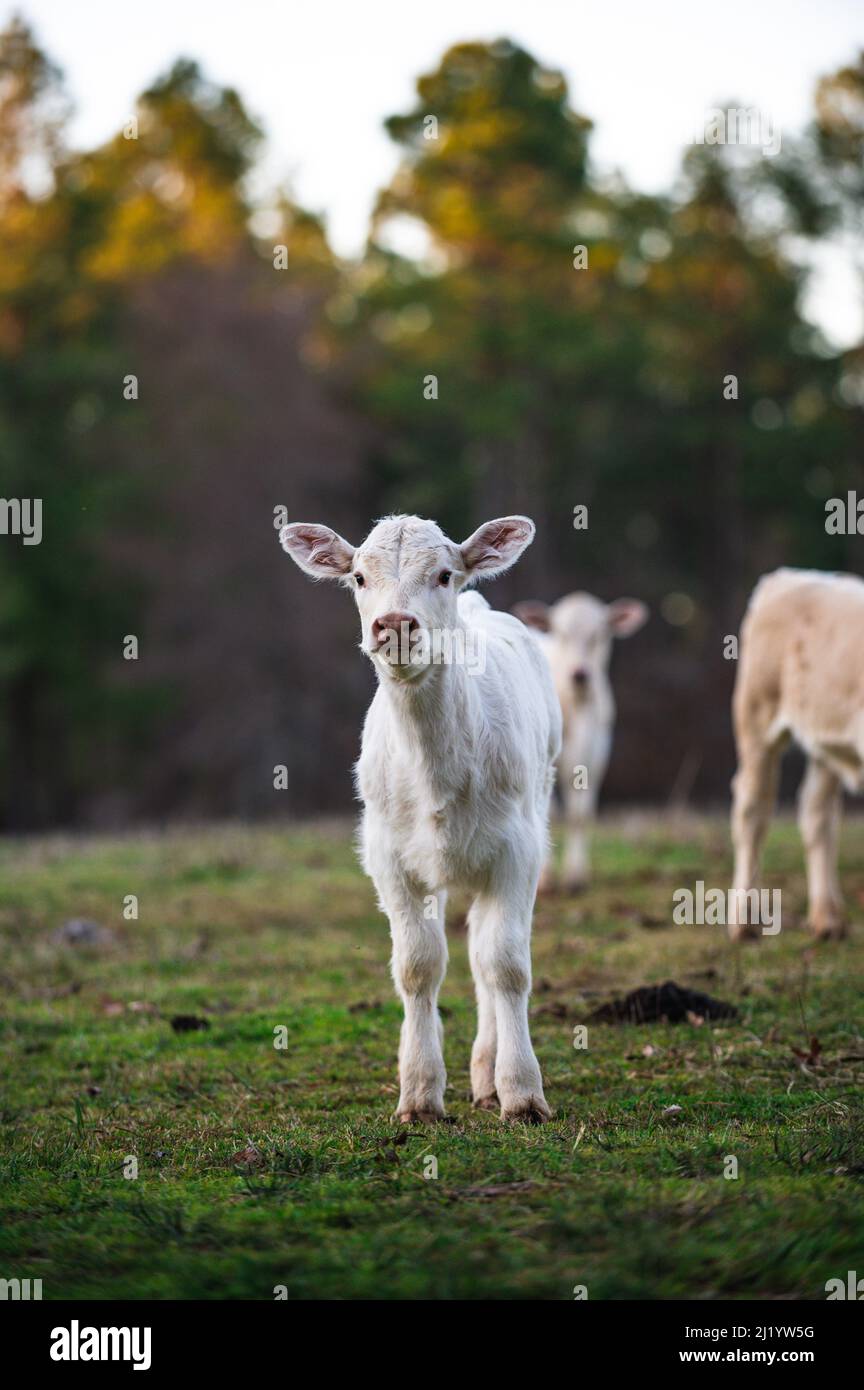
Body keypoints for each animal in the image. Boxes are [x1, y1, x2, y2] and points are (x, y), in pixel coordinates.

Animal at [280, 513, 562, 1123]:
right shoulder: (388, 855)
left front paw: (523, 1093)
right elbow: (417, 965)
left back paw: (489, 1075)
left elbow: (506, 964)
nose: (393, 624)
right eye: (359, 577)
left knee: (485, 954)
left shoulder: (518, 850)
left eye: (444, 573)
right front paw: (419, 1094)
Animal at [513, 593, 648, 891]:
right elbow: (550, 812)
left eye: (598, 634)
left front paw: (576, 875)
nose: (580, 673)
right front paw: (546, 877)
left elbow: (581, 813)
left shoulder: (595, 755)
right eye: (561, 633)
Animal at [730, 567, 861, 942]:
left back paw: (827, 918)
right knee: (752, 810)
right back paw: (744, 922)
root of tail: (787, 576)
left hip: (825, 739)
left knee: (816, 812)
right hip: (757, 714)